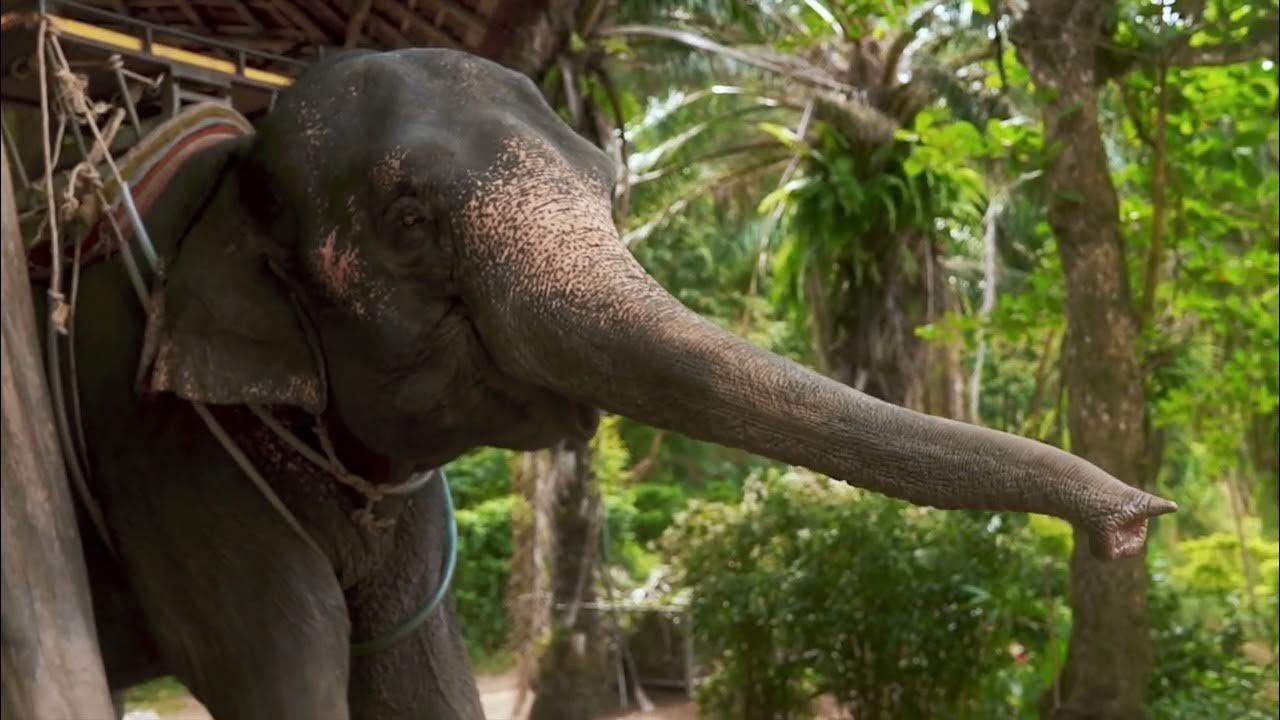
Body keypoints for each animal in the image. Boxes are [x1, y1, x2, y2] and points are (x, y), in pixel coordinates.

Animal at [32, 47, 1175, 720]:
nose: (1137, 519)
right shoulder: (156, 437)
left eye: (608, 185)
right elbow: (282, 662)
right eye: (409, 222)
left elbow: (418, 673)